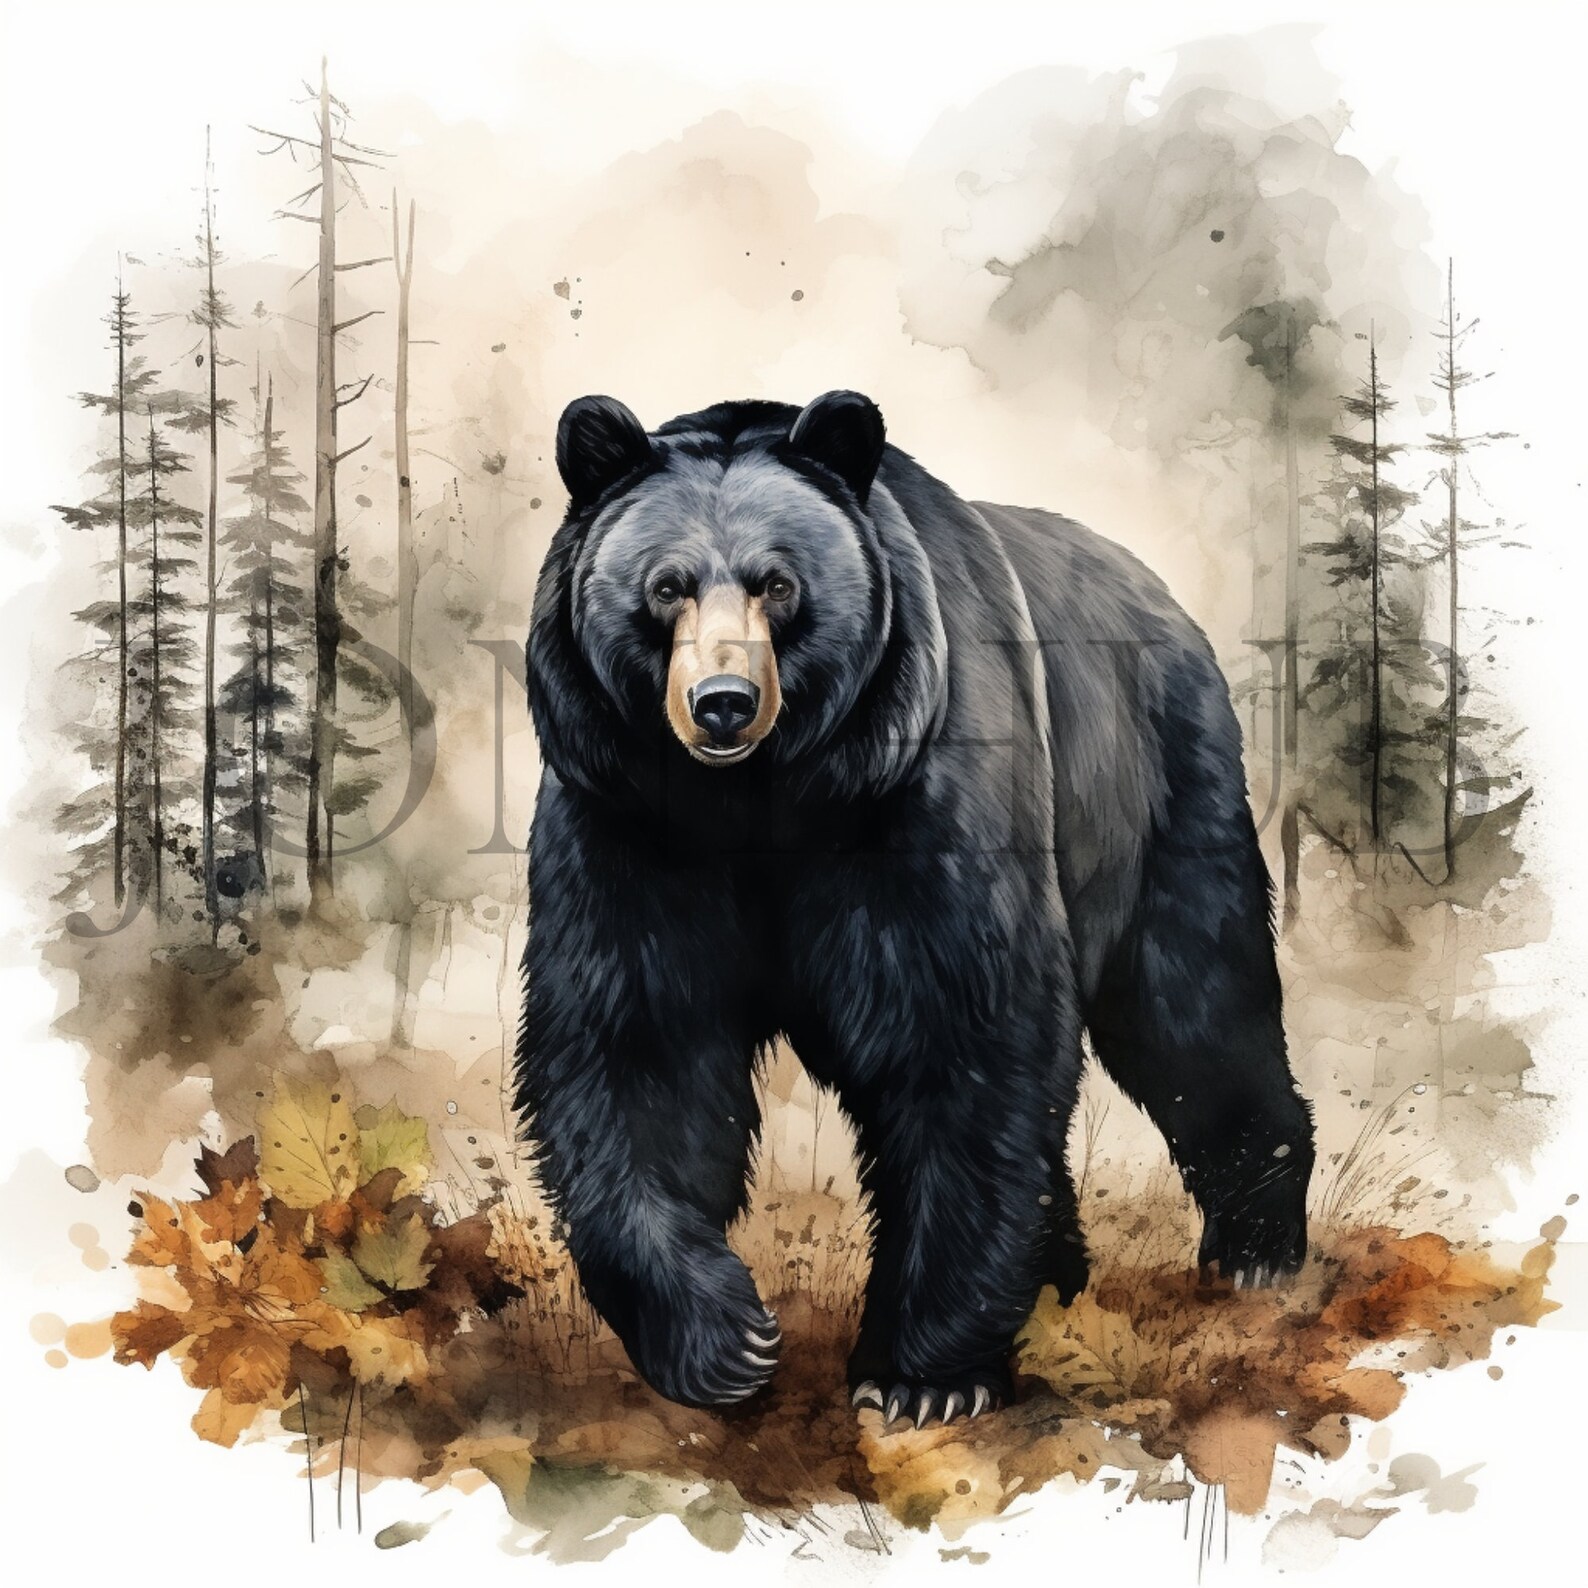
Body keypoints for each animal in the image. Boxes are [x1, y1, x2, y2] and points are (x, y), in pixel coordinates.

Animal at [515, 390, 1314, 1428]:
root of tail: (1162, 595)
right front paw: (724, 1340)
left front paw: (920, 1377)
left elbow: (962, 1032)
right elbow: (635, 1048)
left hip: (1160, 786)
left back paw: (1257, 1244)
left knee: (1194, 1002)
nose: (723, 702)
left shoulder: (916, 794)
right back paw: (1059, 1277)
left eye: (779, 583)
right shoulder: (627, 823)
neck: (759, 803)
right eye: (664, 586)